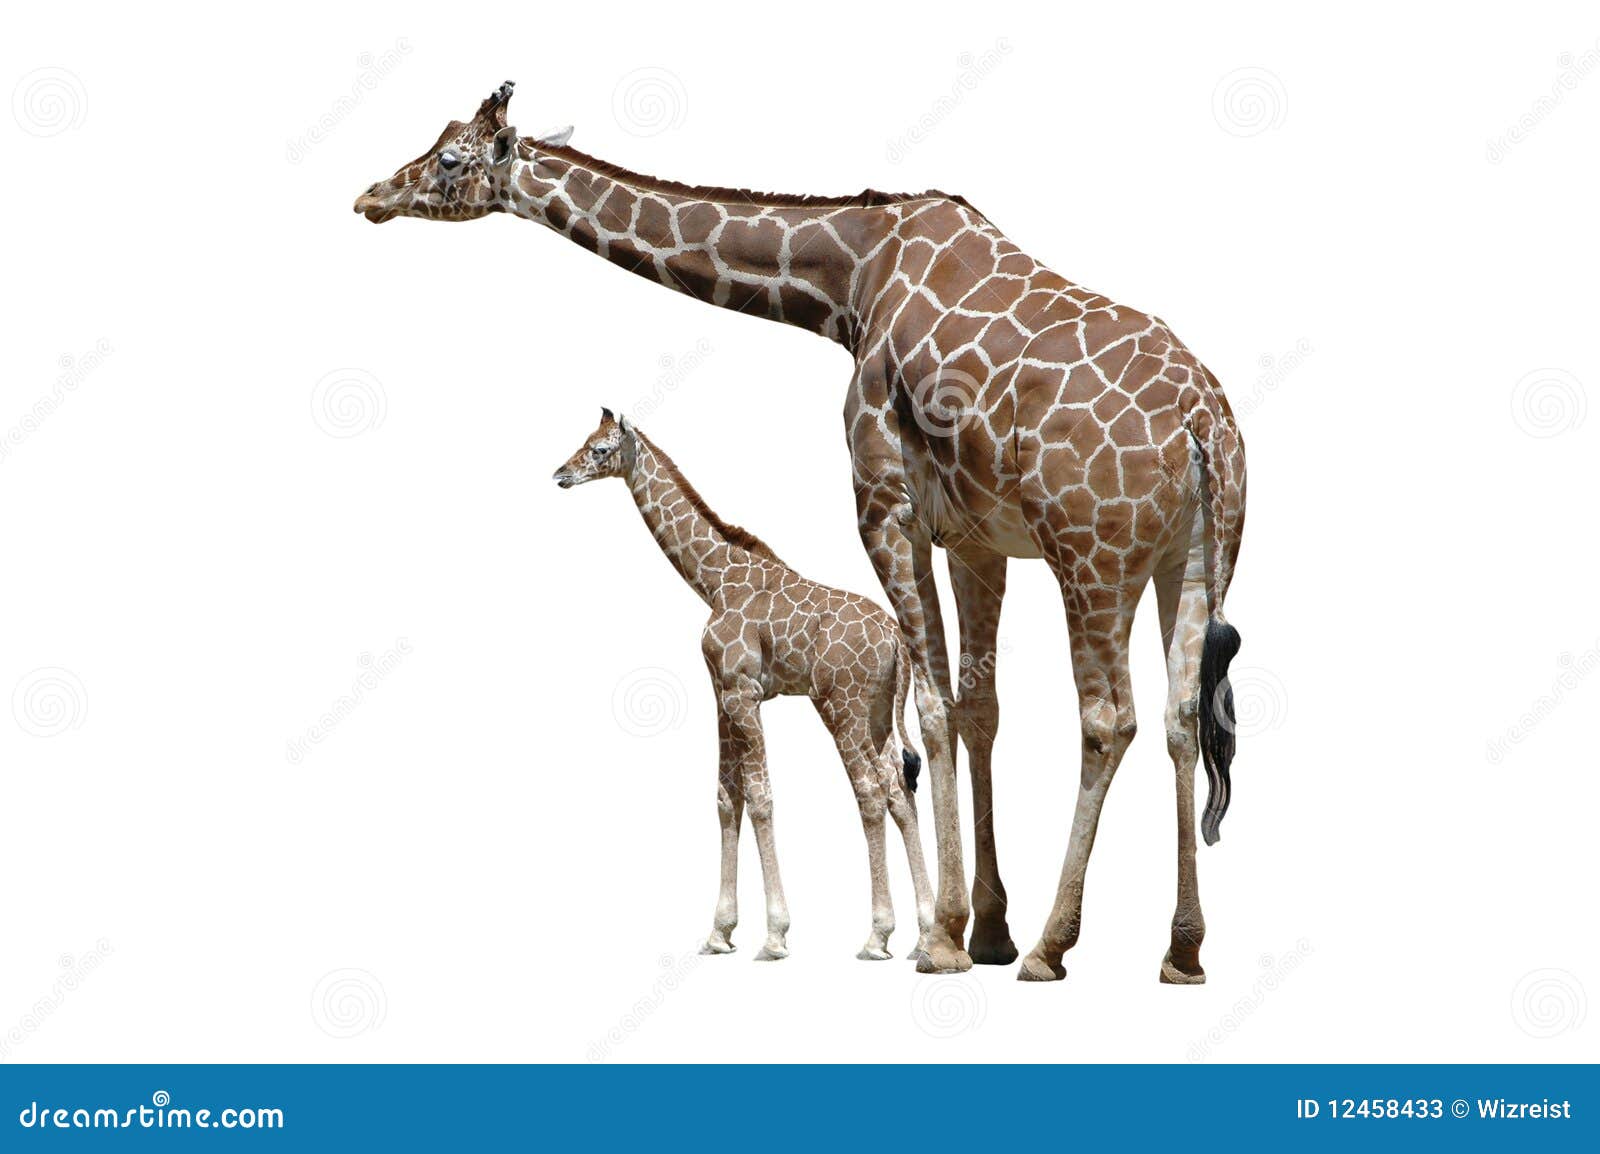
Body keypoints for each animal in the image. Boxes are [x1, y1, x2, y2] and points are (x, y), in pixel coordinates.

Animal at [553, 409, 937, 962]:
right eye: (585, 440)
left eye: (601, 449)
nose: (560, 473)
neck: (712, 580)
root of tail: (896, 641)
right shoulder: (720, 692)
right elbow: (723, 796)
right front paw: (719, 932)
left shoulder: (743, 691)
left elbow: (759, 796)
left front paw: (774, 935)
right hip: (879, 709)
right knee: (897, 789)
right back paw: (925, 935)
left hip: (840, 704)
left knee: (868, 791)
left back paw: (877, 935)